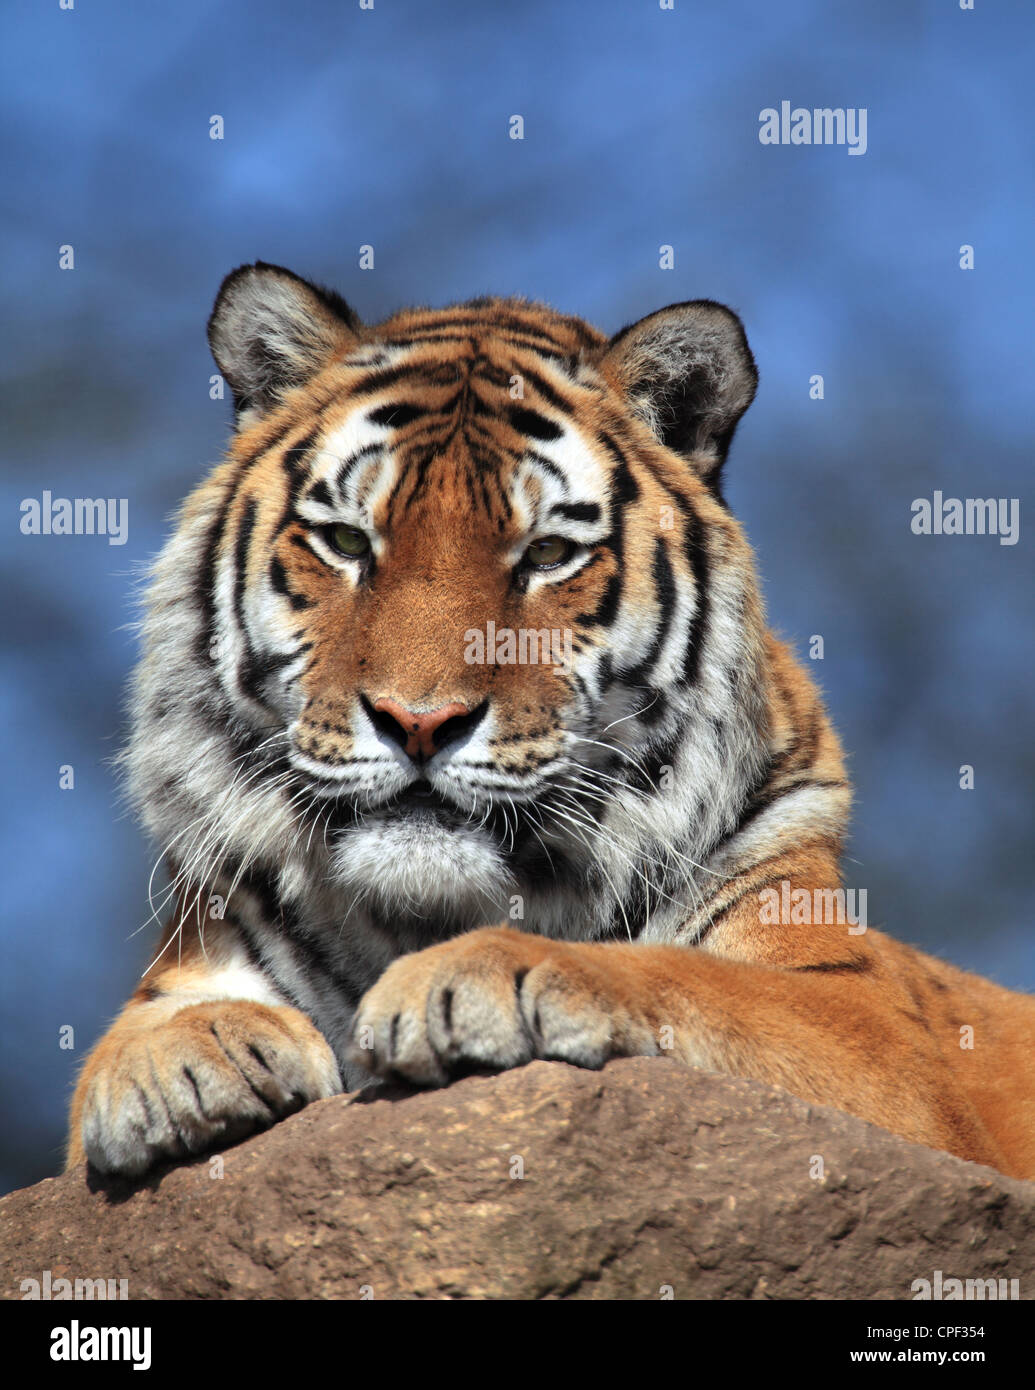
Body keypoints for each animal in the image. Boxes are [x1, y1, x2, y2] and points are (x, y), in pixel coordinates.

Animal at [66, 262, 1035, 1182]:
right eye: (345, 543)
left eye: (547, 554)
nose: (419, 722)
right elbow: (125, 1045)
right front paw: (192, 1055)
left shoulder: (867, 1027)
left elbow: (693, 977)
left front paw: (476, 975)